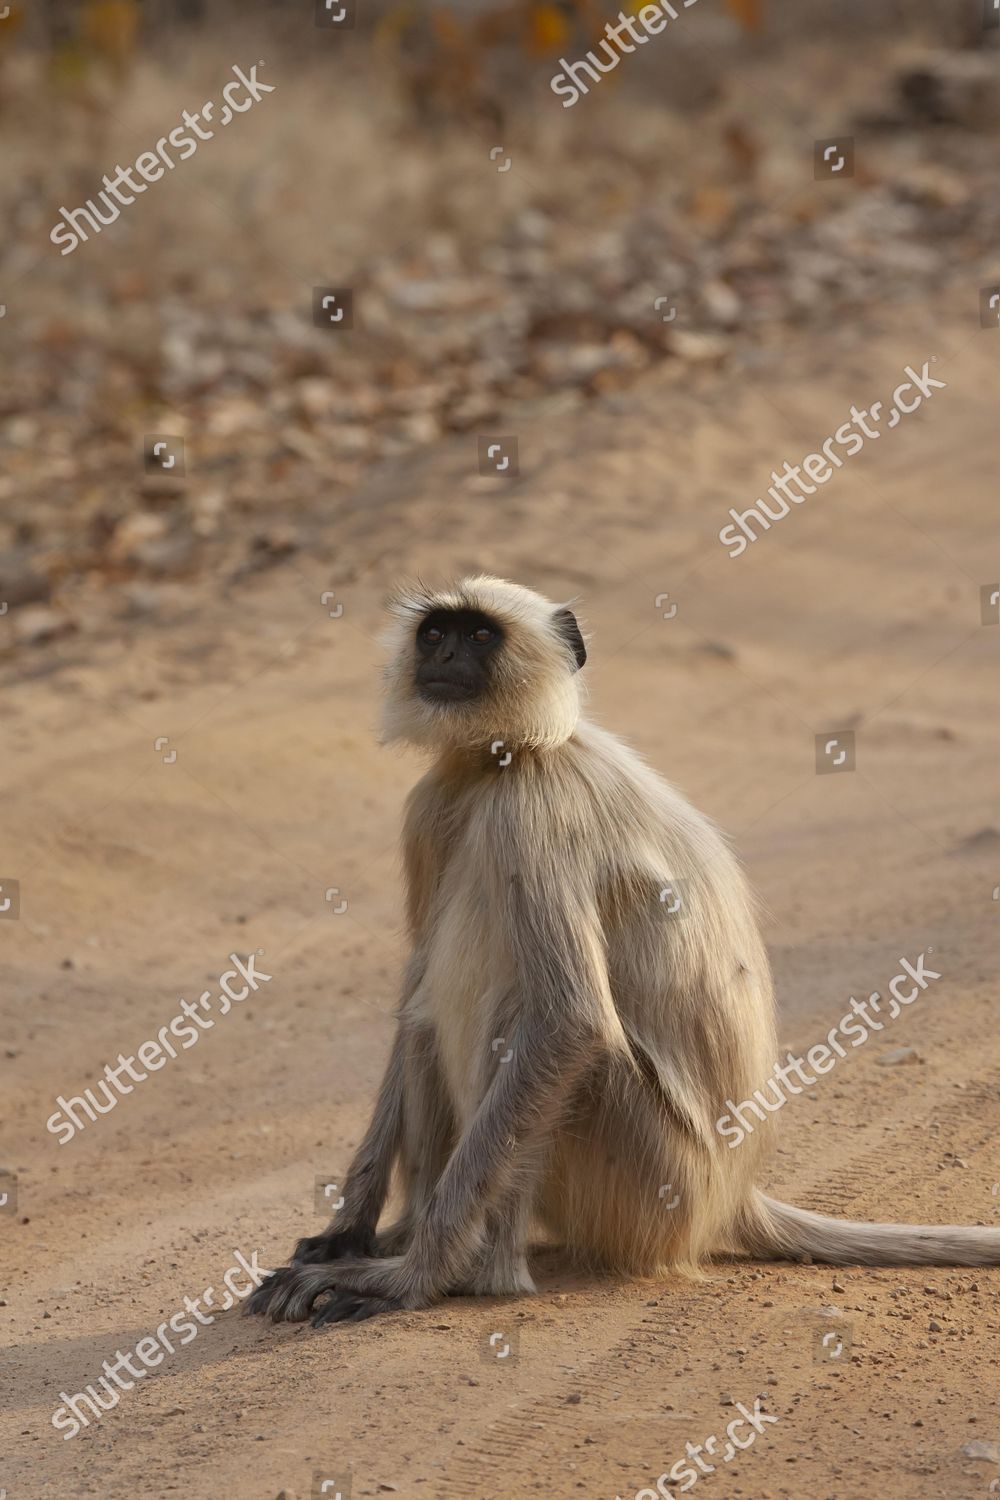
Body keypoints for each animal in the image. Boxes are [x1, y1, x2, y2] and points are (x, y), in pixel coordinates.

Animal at [248, 574, 1000, 1328]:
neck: (509, 753)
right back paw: (404, 1235)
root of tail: (733, 1196)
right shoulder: (431, 805)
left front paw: (407, 1279)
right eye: (436, 634)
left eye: (482, 636)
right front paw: (347, 1232)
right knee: (430, 1010)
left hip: (653, 1185)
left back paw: (476, 1271)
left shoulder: (533, 806)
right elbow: (413, 988)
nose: (447, 657)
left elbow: (571, 1022)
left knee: (513, 1005)